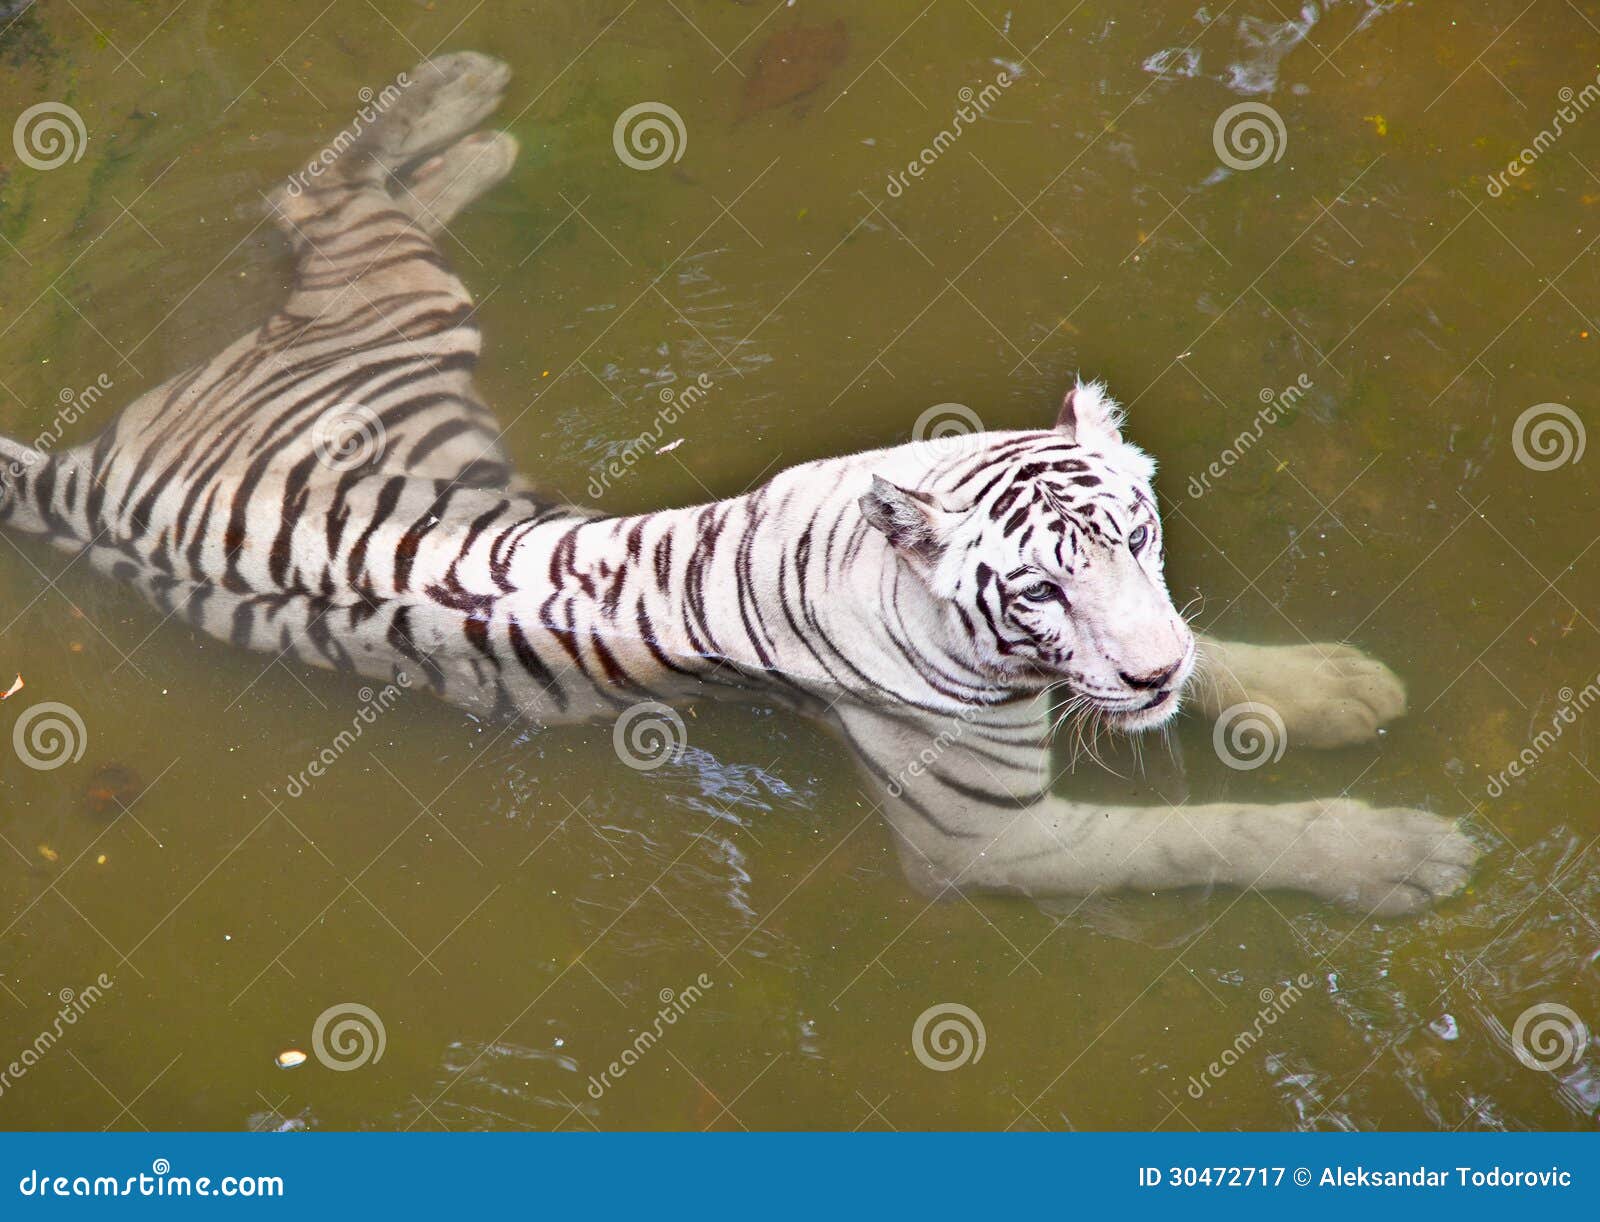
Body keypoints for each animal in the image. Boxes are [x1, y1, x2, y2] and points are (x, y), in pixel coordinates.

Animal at [0, 52, 1478, 918]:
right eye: (1038, 590)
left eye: (1137, 536)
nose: (1148, 675)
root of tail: (83, 469)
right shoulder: (989, 844)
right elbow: (1205, 835)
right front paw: (1396, 857)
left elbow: (1210, 648)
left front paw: (1329, 685)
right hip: (400, 301)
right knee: (311, 196)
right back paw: (477, 95)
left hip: (409, 318)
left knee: (336, 204)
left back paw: (485, 131)